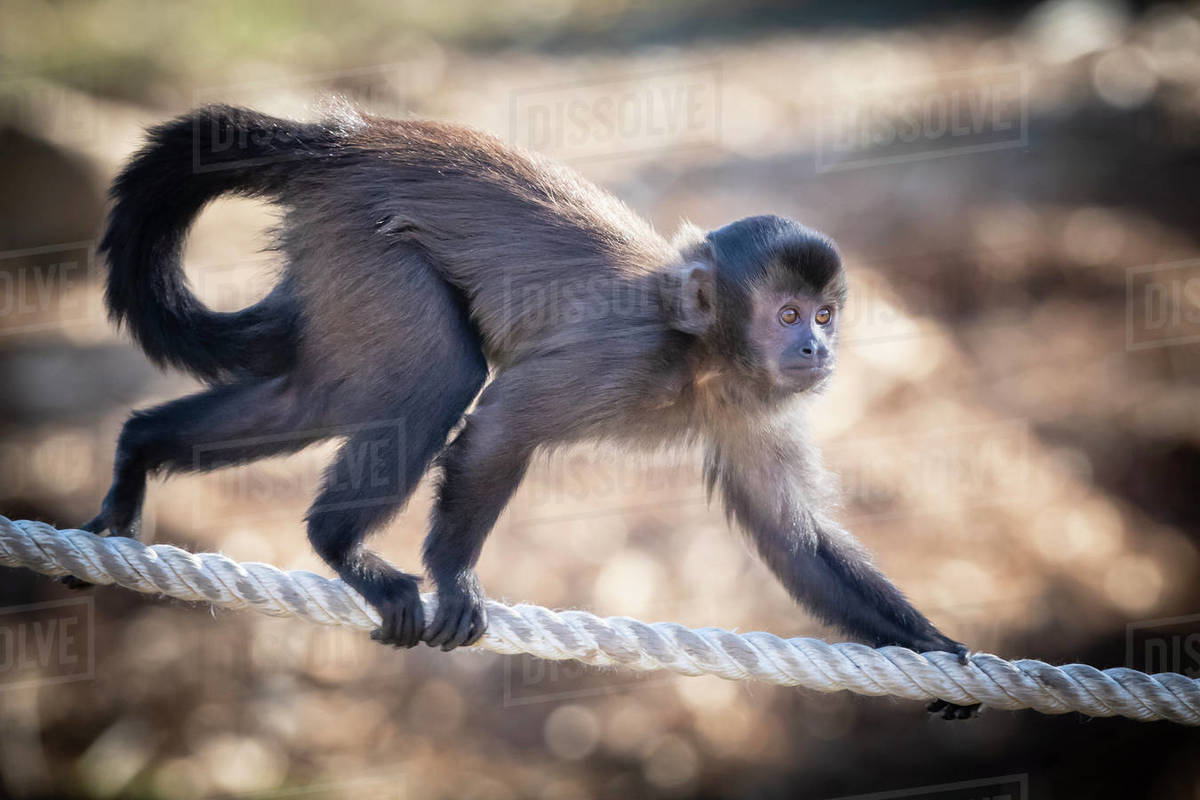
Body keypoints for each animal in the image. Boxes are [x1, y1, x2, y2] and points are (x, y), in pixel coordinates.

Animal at [77, 105, 970, 679]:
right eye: (787, 315)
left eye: (823, 313)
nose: (816, 346)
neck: (700, 354)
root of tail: (349, 139)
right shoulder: (626, 354)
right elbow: (503, 422)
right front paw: (453, 577)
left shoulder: (754, 406)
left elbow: (793, 538)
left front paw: (931, 645)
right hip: (367, 244)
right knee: (437, 377)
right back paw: (341, 548)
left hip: (335, 264)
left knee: (317, 396)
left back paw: (138, 454)